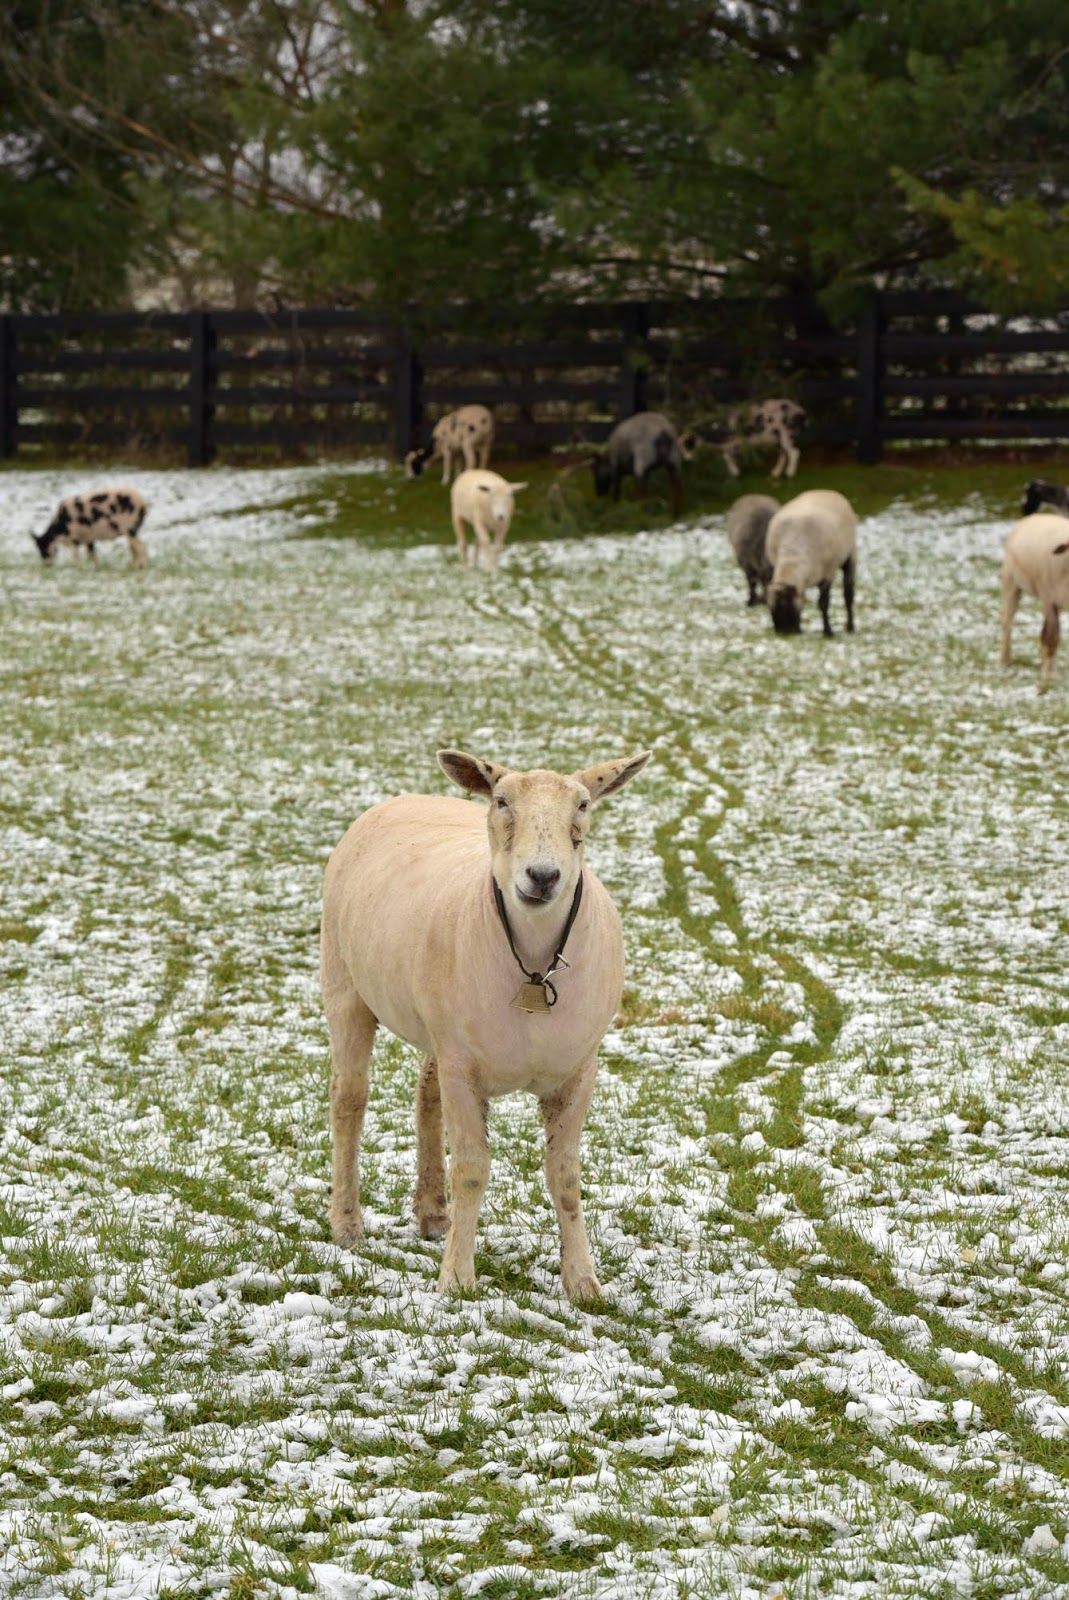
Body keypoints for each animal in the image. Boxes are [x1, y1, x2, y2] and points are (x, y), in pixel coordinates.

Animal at [320, 746, 652, 1300]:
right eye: (501, 801)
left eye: (583, 804)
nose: (542, 876)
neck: (535, 969)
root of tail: (406, 797)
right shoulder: (463, 1066)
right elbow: (472, 1170)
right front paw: (457, 1279)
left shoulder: (580, 1068)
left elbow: (566, 1177)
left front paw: (582, 1281)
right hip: (344, 985)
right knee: (349, 1099)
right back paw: (347, 1224)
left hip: (438, 1027)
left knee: (425, 1095)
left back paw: (433, 1214)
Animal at [765, 488, 857, 636]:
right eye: (770, 608)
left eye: (788, 604)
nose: (785, 632)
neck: (793, 554)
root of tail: (826, 490)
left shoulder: (828, 574)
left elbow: (823, 603)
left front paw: (828, 632)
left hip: (850, 554)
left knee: (848, 594)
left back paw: (850, 627)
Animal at [1000, 513, 1069, 684]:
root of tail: (1034, 516)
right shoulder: (1049, 600)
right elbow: (1051, 637)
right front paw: (1047, 677)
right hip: (1011, 581)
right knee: (1006, 620)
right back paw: (1005, 661)